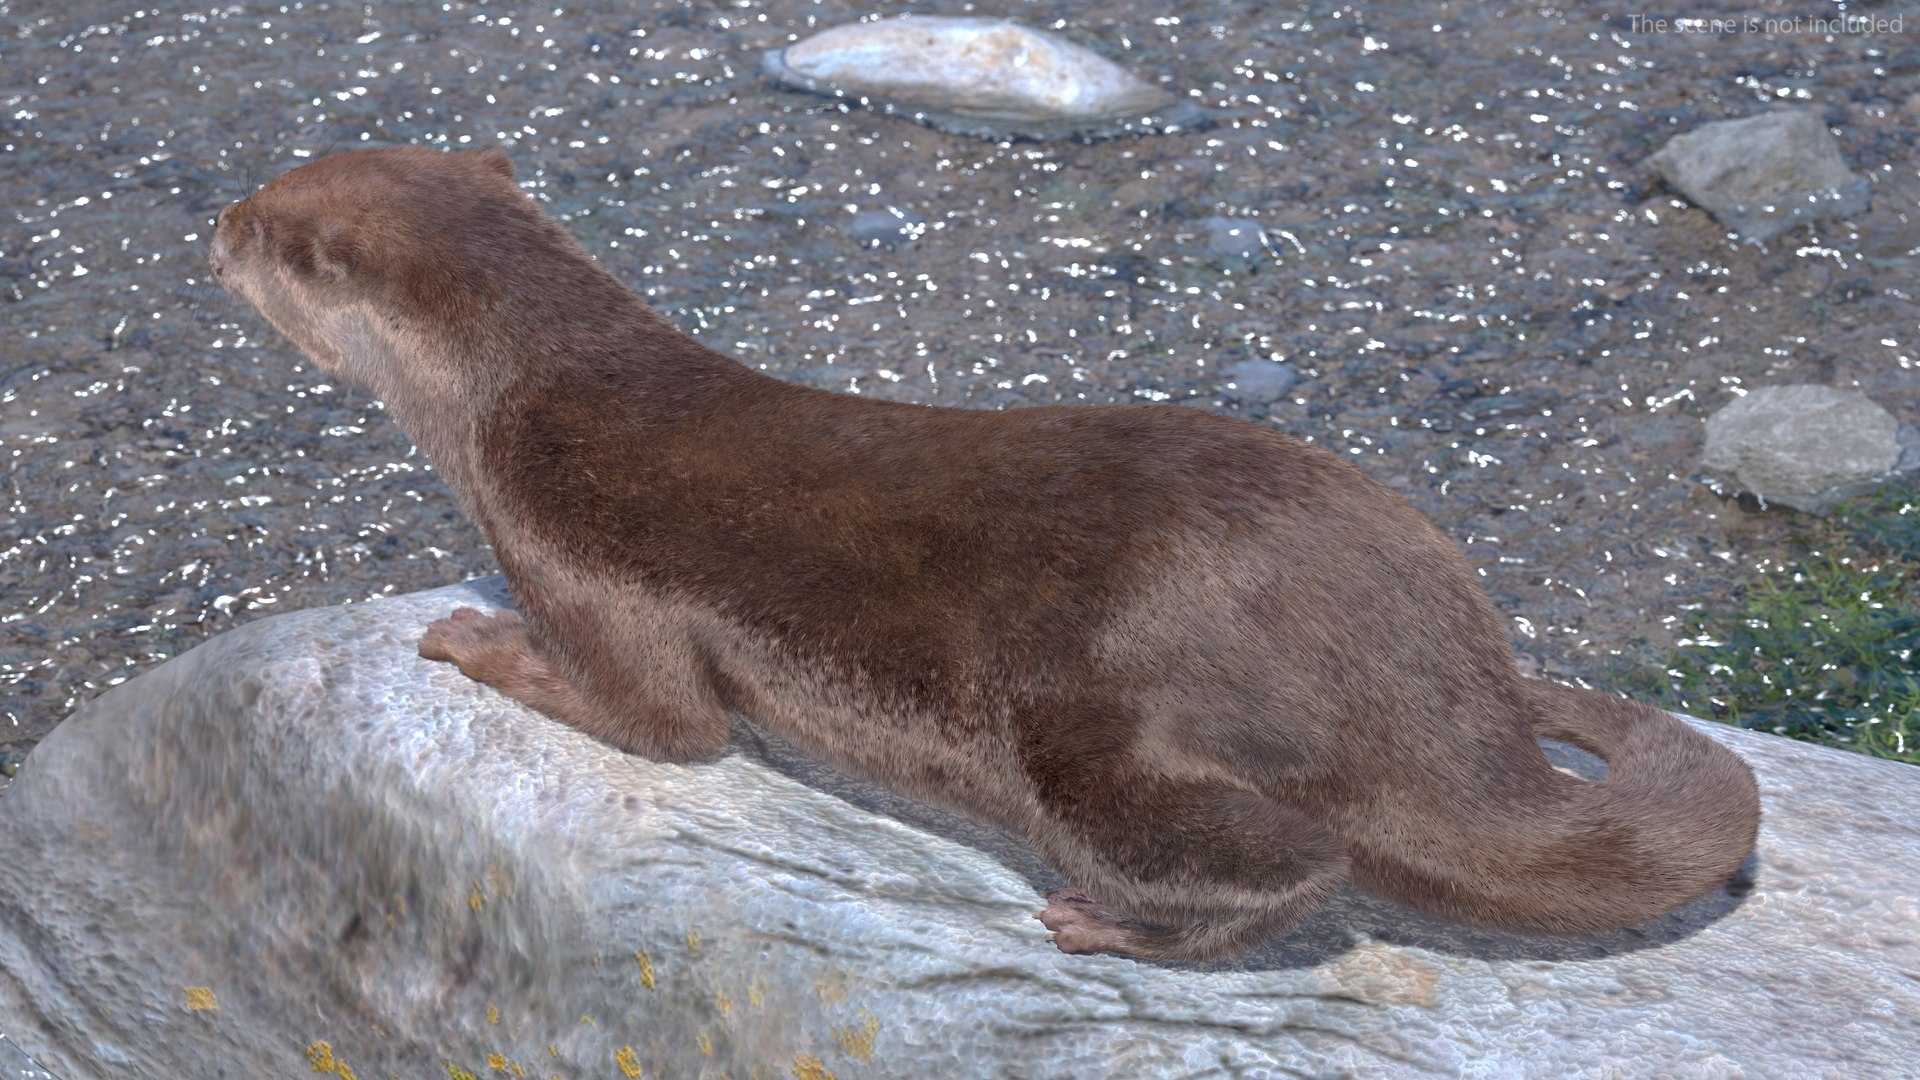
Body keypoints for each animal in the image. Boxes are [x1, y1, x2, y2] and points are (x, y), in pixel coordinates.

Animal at [209, 147, 1760, 962]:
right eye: (286, 179)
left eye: (278, 232)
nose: (215, 222)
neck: (527, 394)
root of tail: (1433, 701)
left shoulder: (579, 559)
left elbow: (655, 720)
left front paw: (470, 637)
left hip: (1082, 716)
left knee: (1303, 866)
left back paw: (1104, 926)